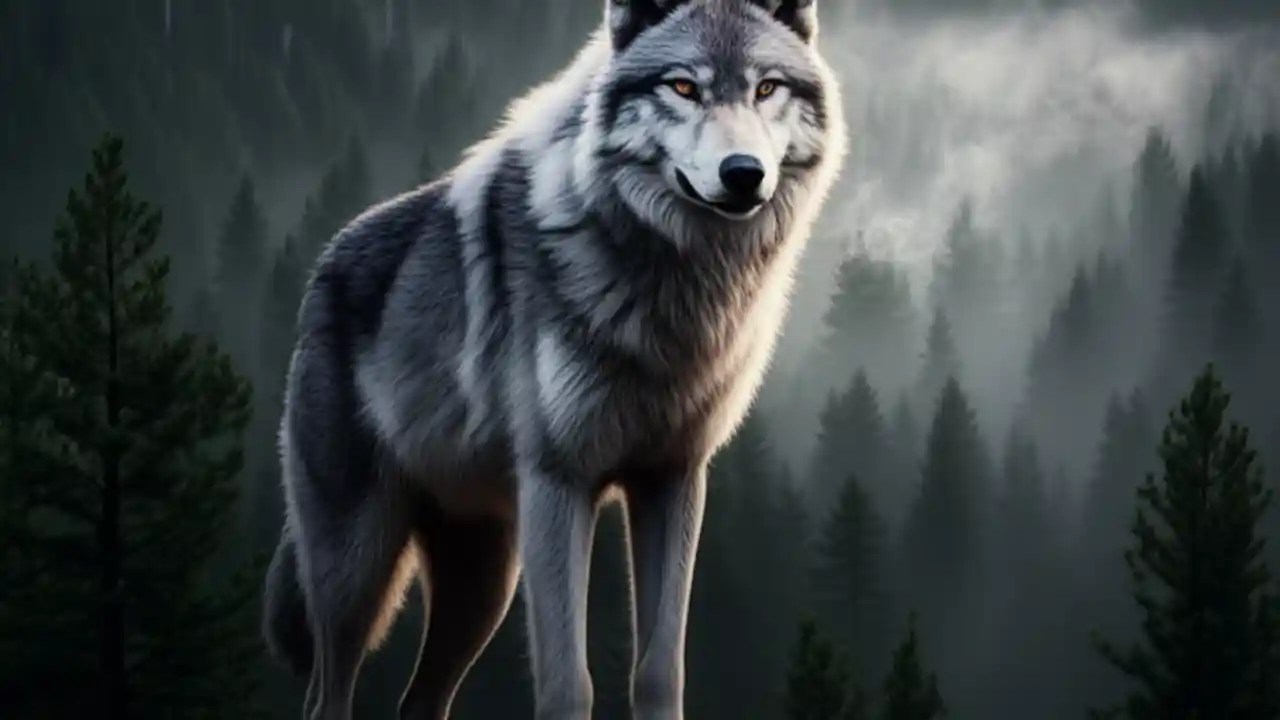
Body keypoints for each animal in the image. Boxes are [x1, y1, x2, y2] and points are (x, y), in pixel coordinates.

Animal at [261, 1, 846, 718]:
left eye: (766, 88)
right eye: (684, 86)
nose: (743, 173)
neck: (673, 288)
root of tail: (324, 264)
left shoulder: (673, 479)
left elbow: (659, 670)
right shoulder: (559, 484)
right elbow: (569, 682)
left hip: (483, 585)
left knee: (418, 700)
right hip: (358, 570)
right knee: (328, 694)